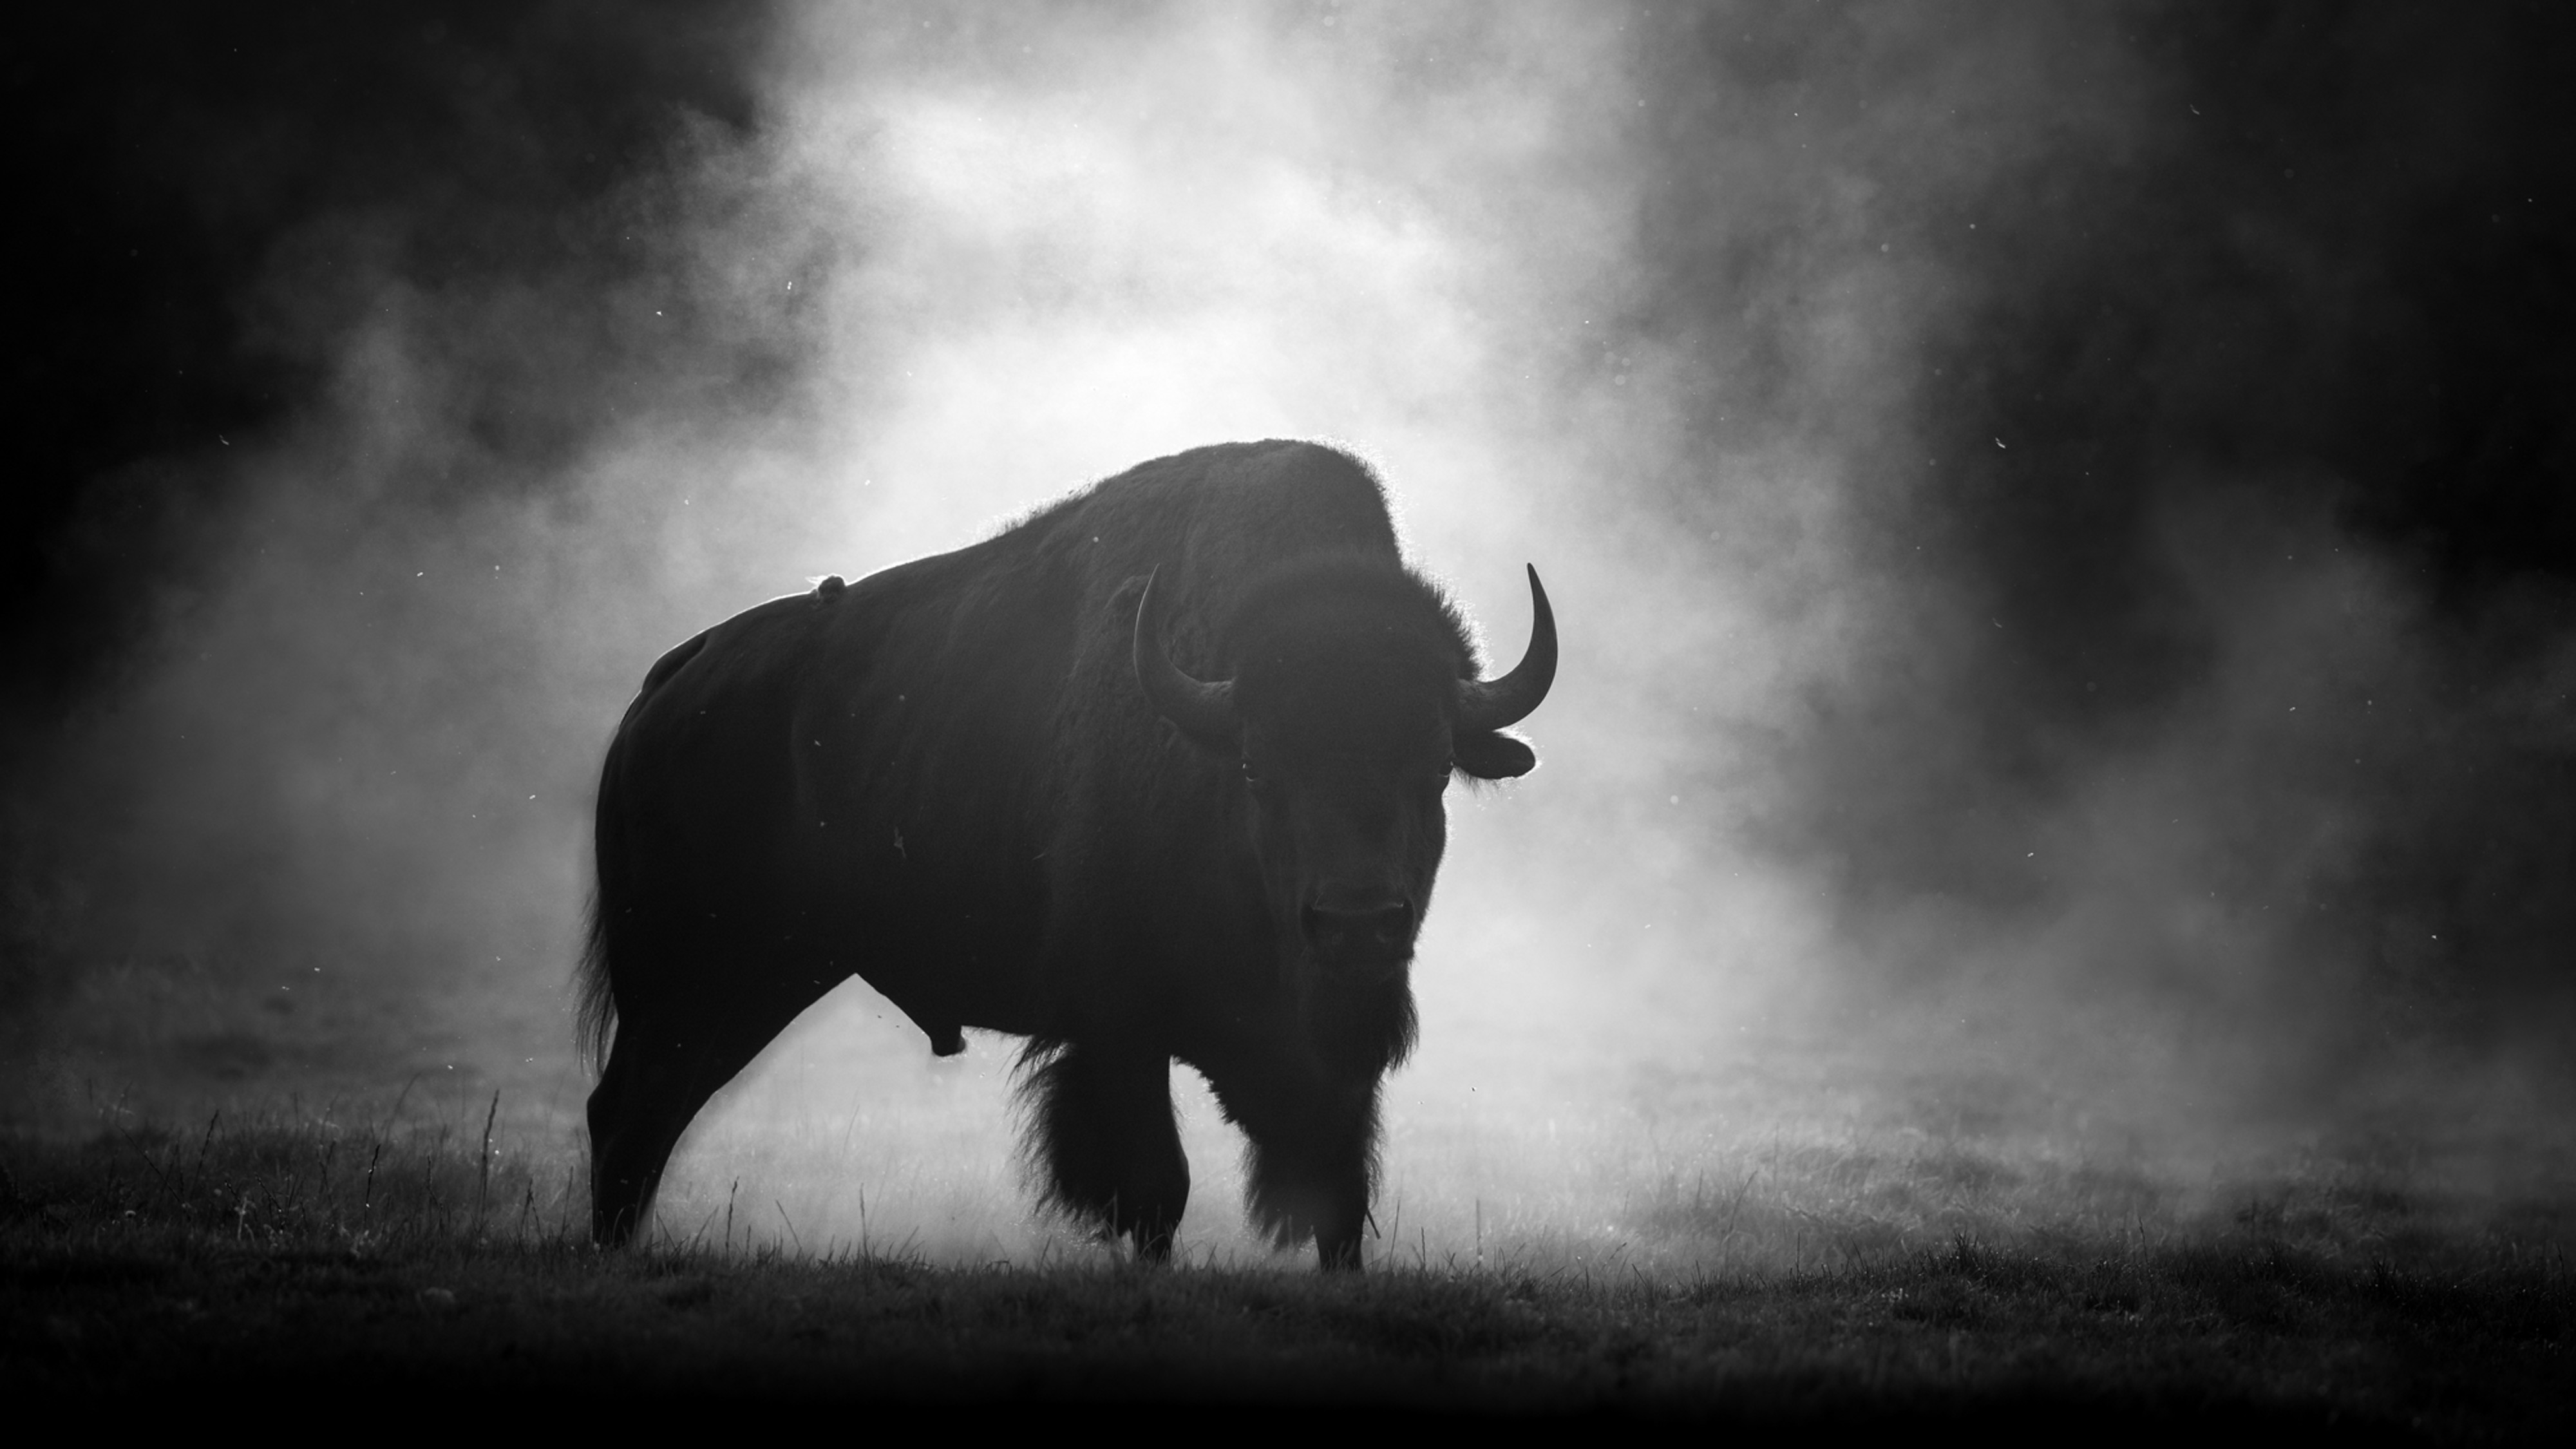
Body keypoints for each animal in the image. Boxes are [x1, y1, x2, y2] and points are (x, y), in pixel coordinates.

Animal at [579, 440, 1555, 1268]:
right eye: (1255, 766)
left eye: (1435, 764)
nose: (1357, 923)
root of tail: (673, 680)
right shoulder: (1119, 1028)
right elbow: (1157, 1188)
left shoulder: (1333, 1062)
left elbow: (1338, 1199)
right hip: (691, 973)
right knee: (629, 1110)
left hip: (754, 977)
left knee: (648, 1112)